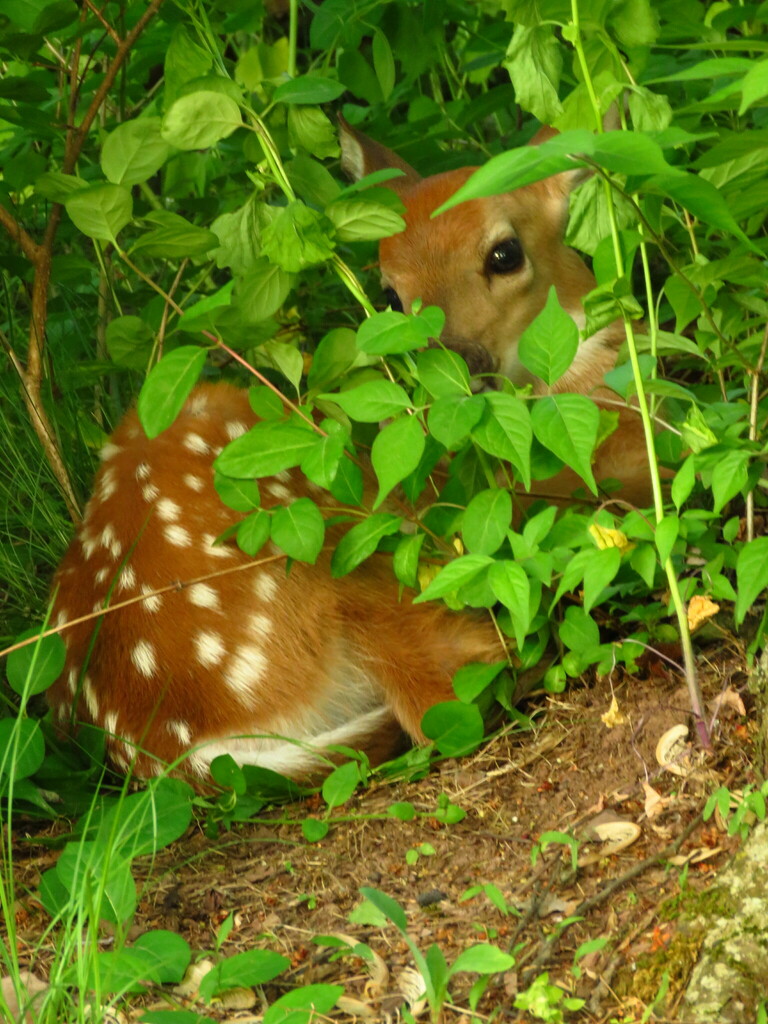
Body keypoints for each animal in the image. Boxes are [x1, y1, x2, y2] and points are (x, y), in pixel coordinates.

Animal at [46, 121, 650, 783]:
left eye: (505, 253)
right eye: (387, 292)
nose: (450, 365)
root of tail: (177, 742)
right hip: (321, 548)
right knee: (440, 690)